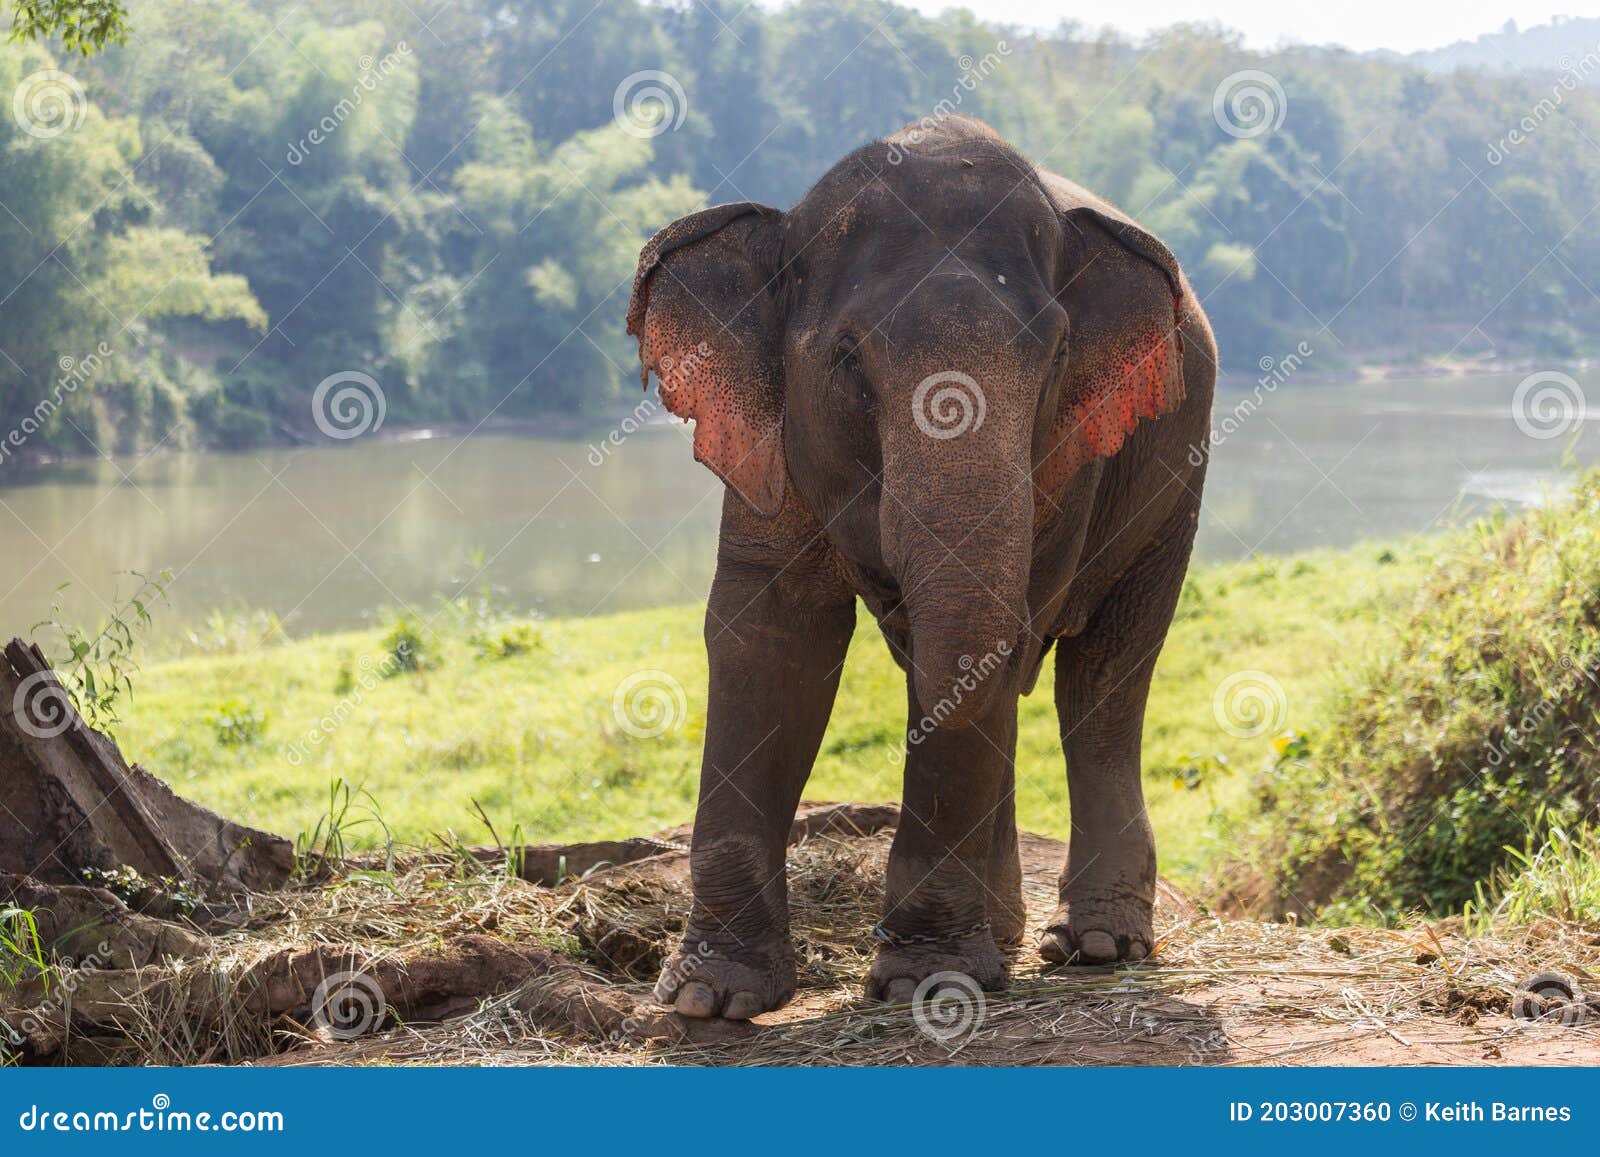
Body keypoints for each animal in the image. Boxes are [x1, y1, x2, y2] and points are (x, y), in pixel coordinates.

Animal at [625, 115, 1216, 1019]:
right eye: (846, 359)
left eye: (1056, 356)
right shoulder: (765, 436)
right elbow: (768, 634)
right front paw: (708, 998)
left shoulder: (1072, 454)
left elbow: (995, 642)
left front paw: (923, 980)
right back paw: (1006, 933)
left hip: (1176, 476)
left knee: (1105, 675)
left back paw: (1095, 945)